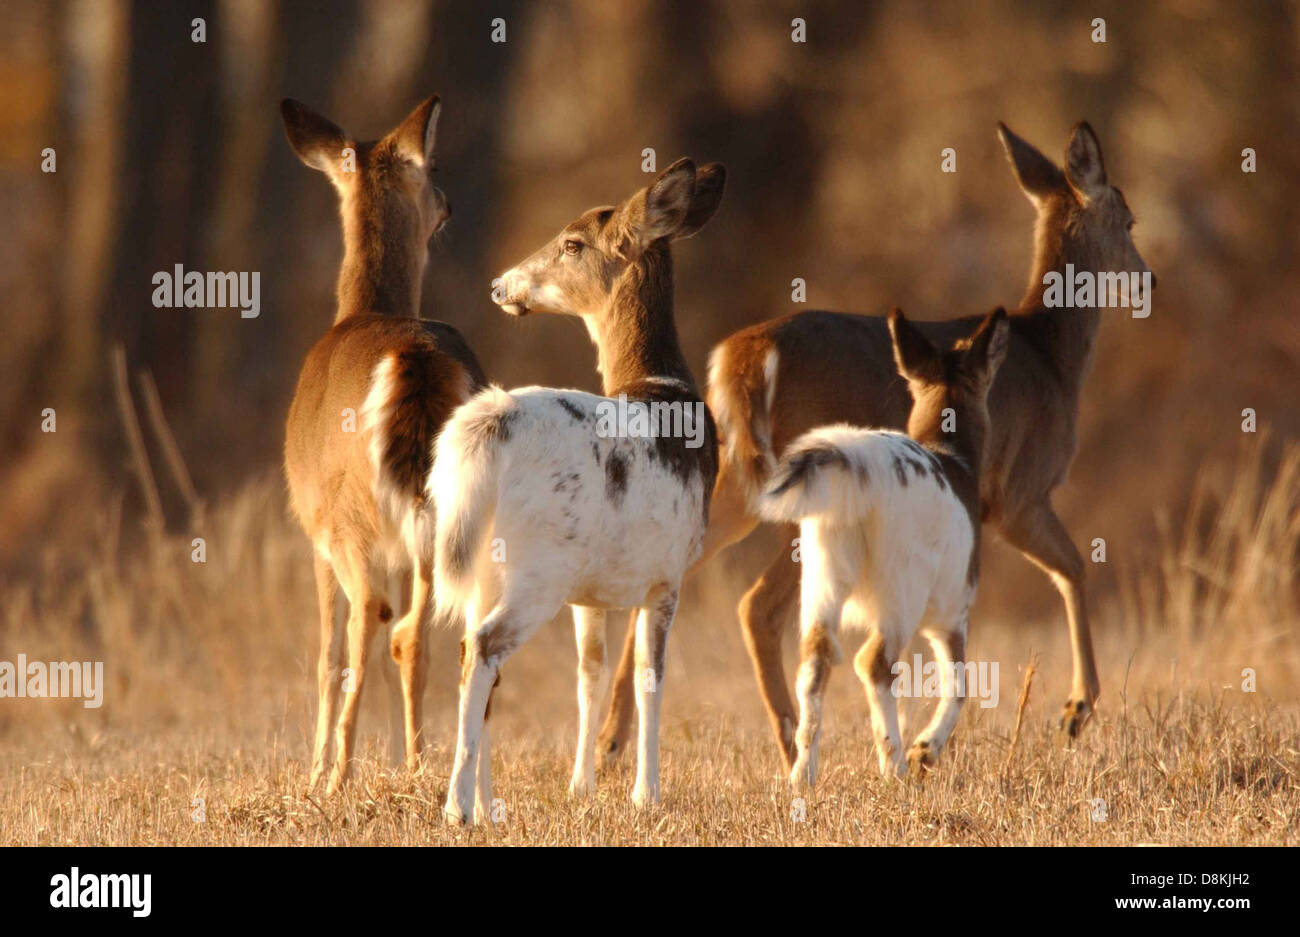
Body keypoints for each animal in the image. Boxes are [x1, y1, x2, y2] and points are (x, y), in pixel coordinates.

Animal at [280, 95, 489, 795]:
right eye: (434, 177)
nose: (450, 204)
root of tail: (414, 352)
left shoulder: (312, 528)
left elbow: (325, 652)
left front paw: (317, 768)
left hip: (349, 513)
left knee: (370, 616)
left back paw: (339, 774)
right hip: (459, 507)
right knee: (429, 634)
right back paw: (429, 766)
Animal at [430, 158, 725, 822]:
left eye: (572, 244)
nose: (500, 285)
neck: (662, 390)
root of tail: (491, 423)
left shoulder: (592, 595)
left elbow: (589, 677)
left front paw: (580, 787)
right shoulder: (669, 574)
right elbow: (649, 678)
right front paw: (647, 794)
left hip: (483, 557)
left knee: (471, 653)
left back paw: (488, 802)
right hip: (543, 563)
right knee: (482, 647)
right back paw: (458, 805)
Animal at [758, 307, 1008, 786]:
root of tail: (859, 462)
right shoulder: (954, 609)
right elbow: (960, 683)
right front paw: (924, 751)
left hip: (821, 568)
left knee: (816, 657)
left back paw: (803, 774)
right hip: (903, 583)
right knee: (872, 662)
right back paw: (895, 767)